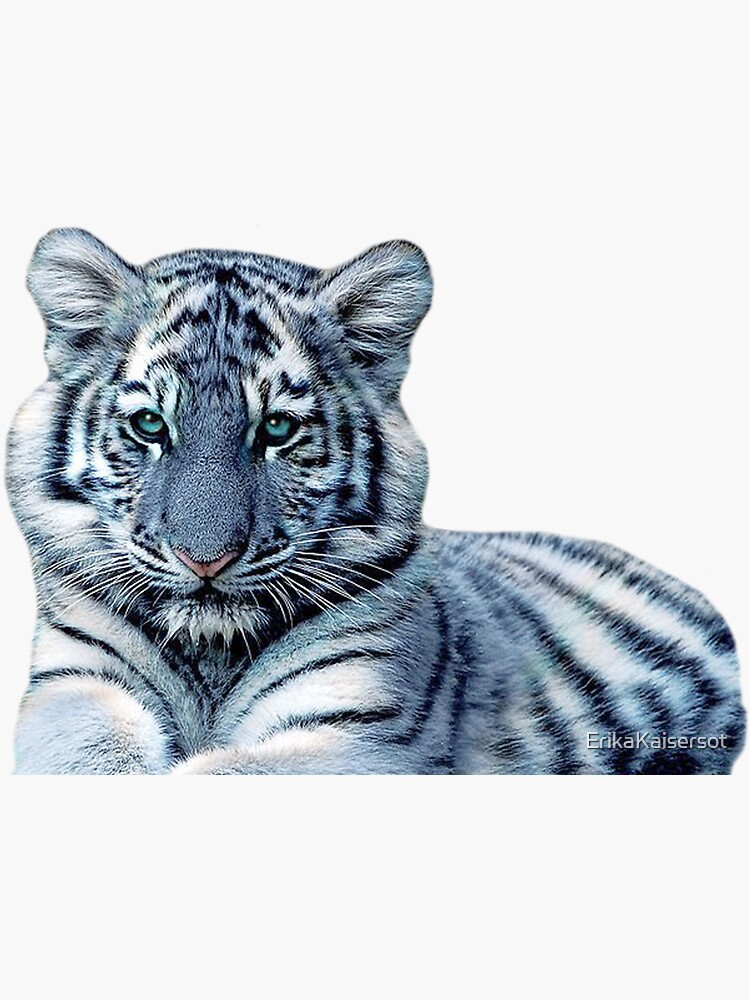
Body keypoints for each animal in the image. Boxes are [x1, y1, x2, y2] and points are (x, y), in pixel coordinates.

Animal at [7, 228, 745, 774]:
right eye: (150, 425)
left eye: (277, 429)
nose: (205, 560)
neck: (212, 652)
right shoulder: (75, 685)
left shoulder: (361, 731)